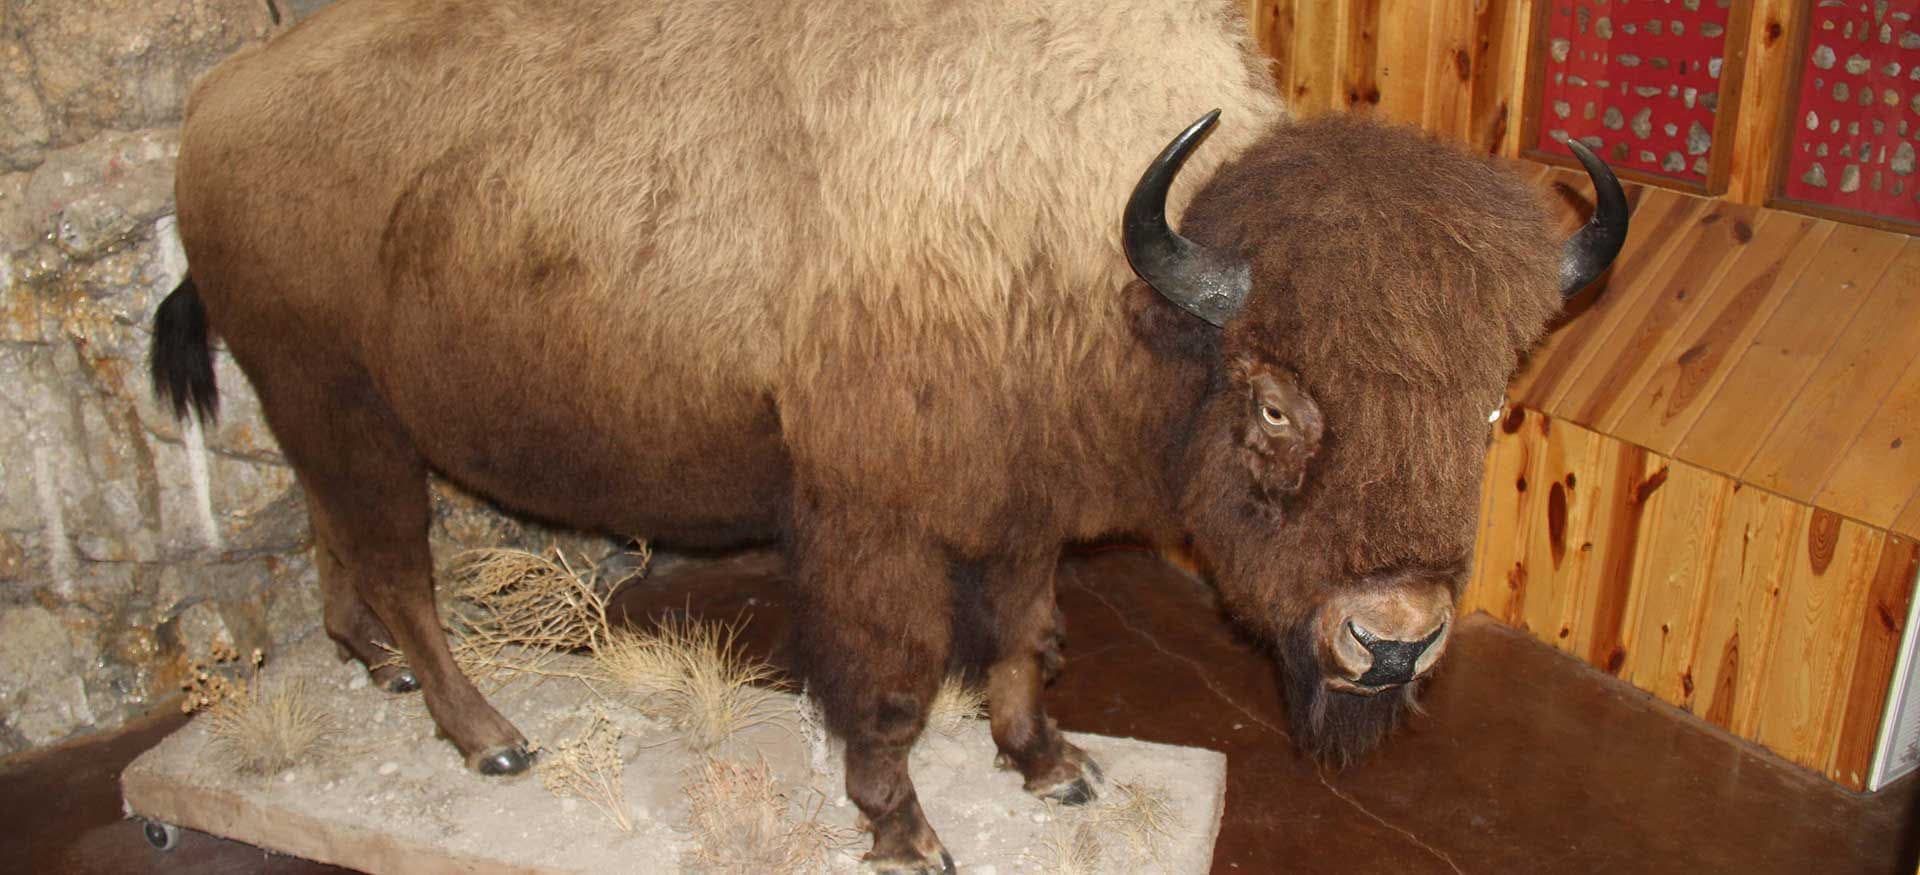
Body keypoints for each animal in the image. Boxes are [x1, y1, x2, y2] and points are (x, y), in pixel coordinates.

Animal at [151, 0, 1624, 870]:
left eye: (1491, 402)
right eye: (1271, 397)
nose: (1397, 637)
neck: (1110, 256)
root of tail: (215, 107)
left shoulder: (1018, 506)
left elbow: (1022, 634)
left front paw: (1054, 766)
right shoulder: (874, 524)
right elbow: (896, 686)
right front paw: (908, 831)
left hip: (329, 407)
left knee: (341, 543)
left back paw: (378, 671)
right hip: (345, 405)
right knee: (401, 563)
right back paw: (489, 734)